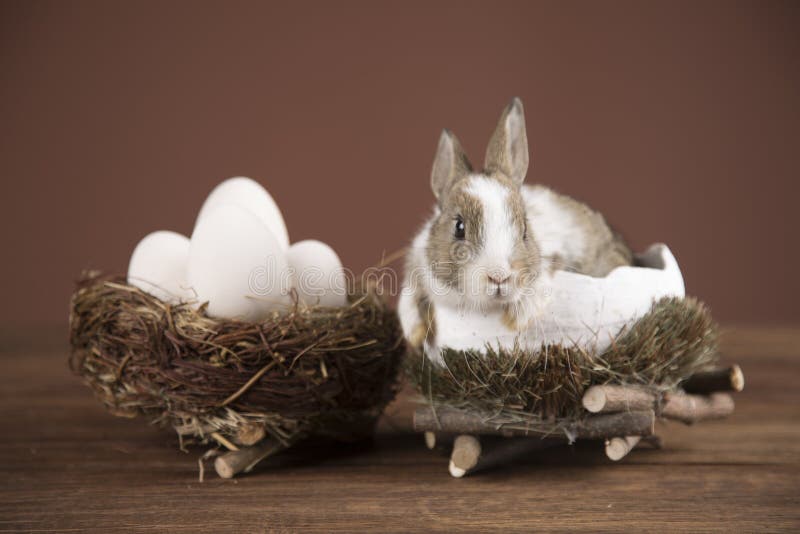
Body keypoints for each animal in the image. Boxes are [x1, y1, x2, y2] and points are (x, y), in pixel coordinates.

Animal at [401, 97, 632, 354]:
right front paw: (414, 333)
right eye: (459, 228)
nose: (499, 277)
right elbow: (408, 295)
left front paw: (517, 318)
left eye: (524, 230)